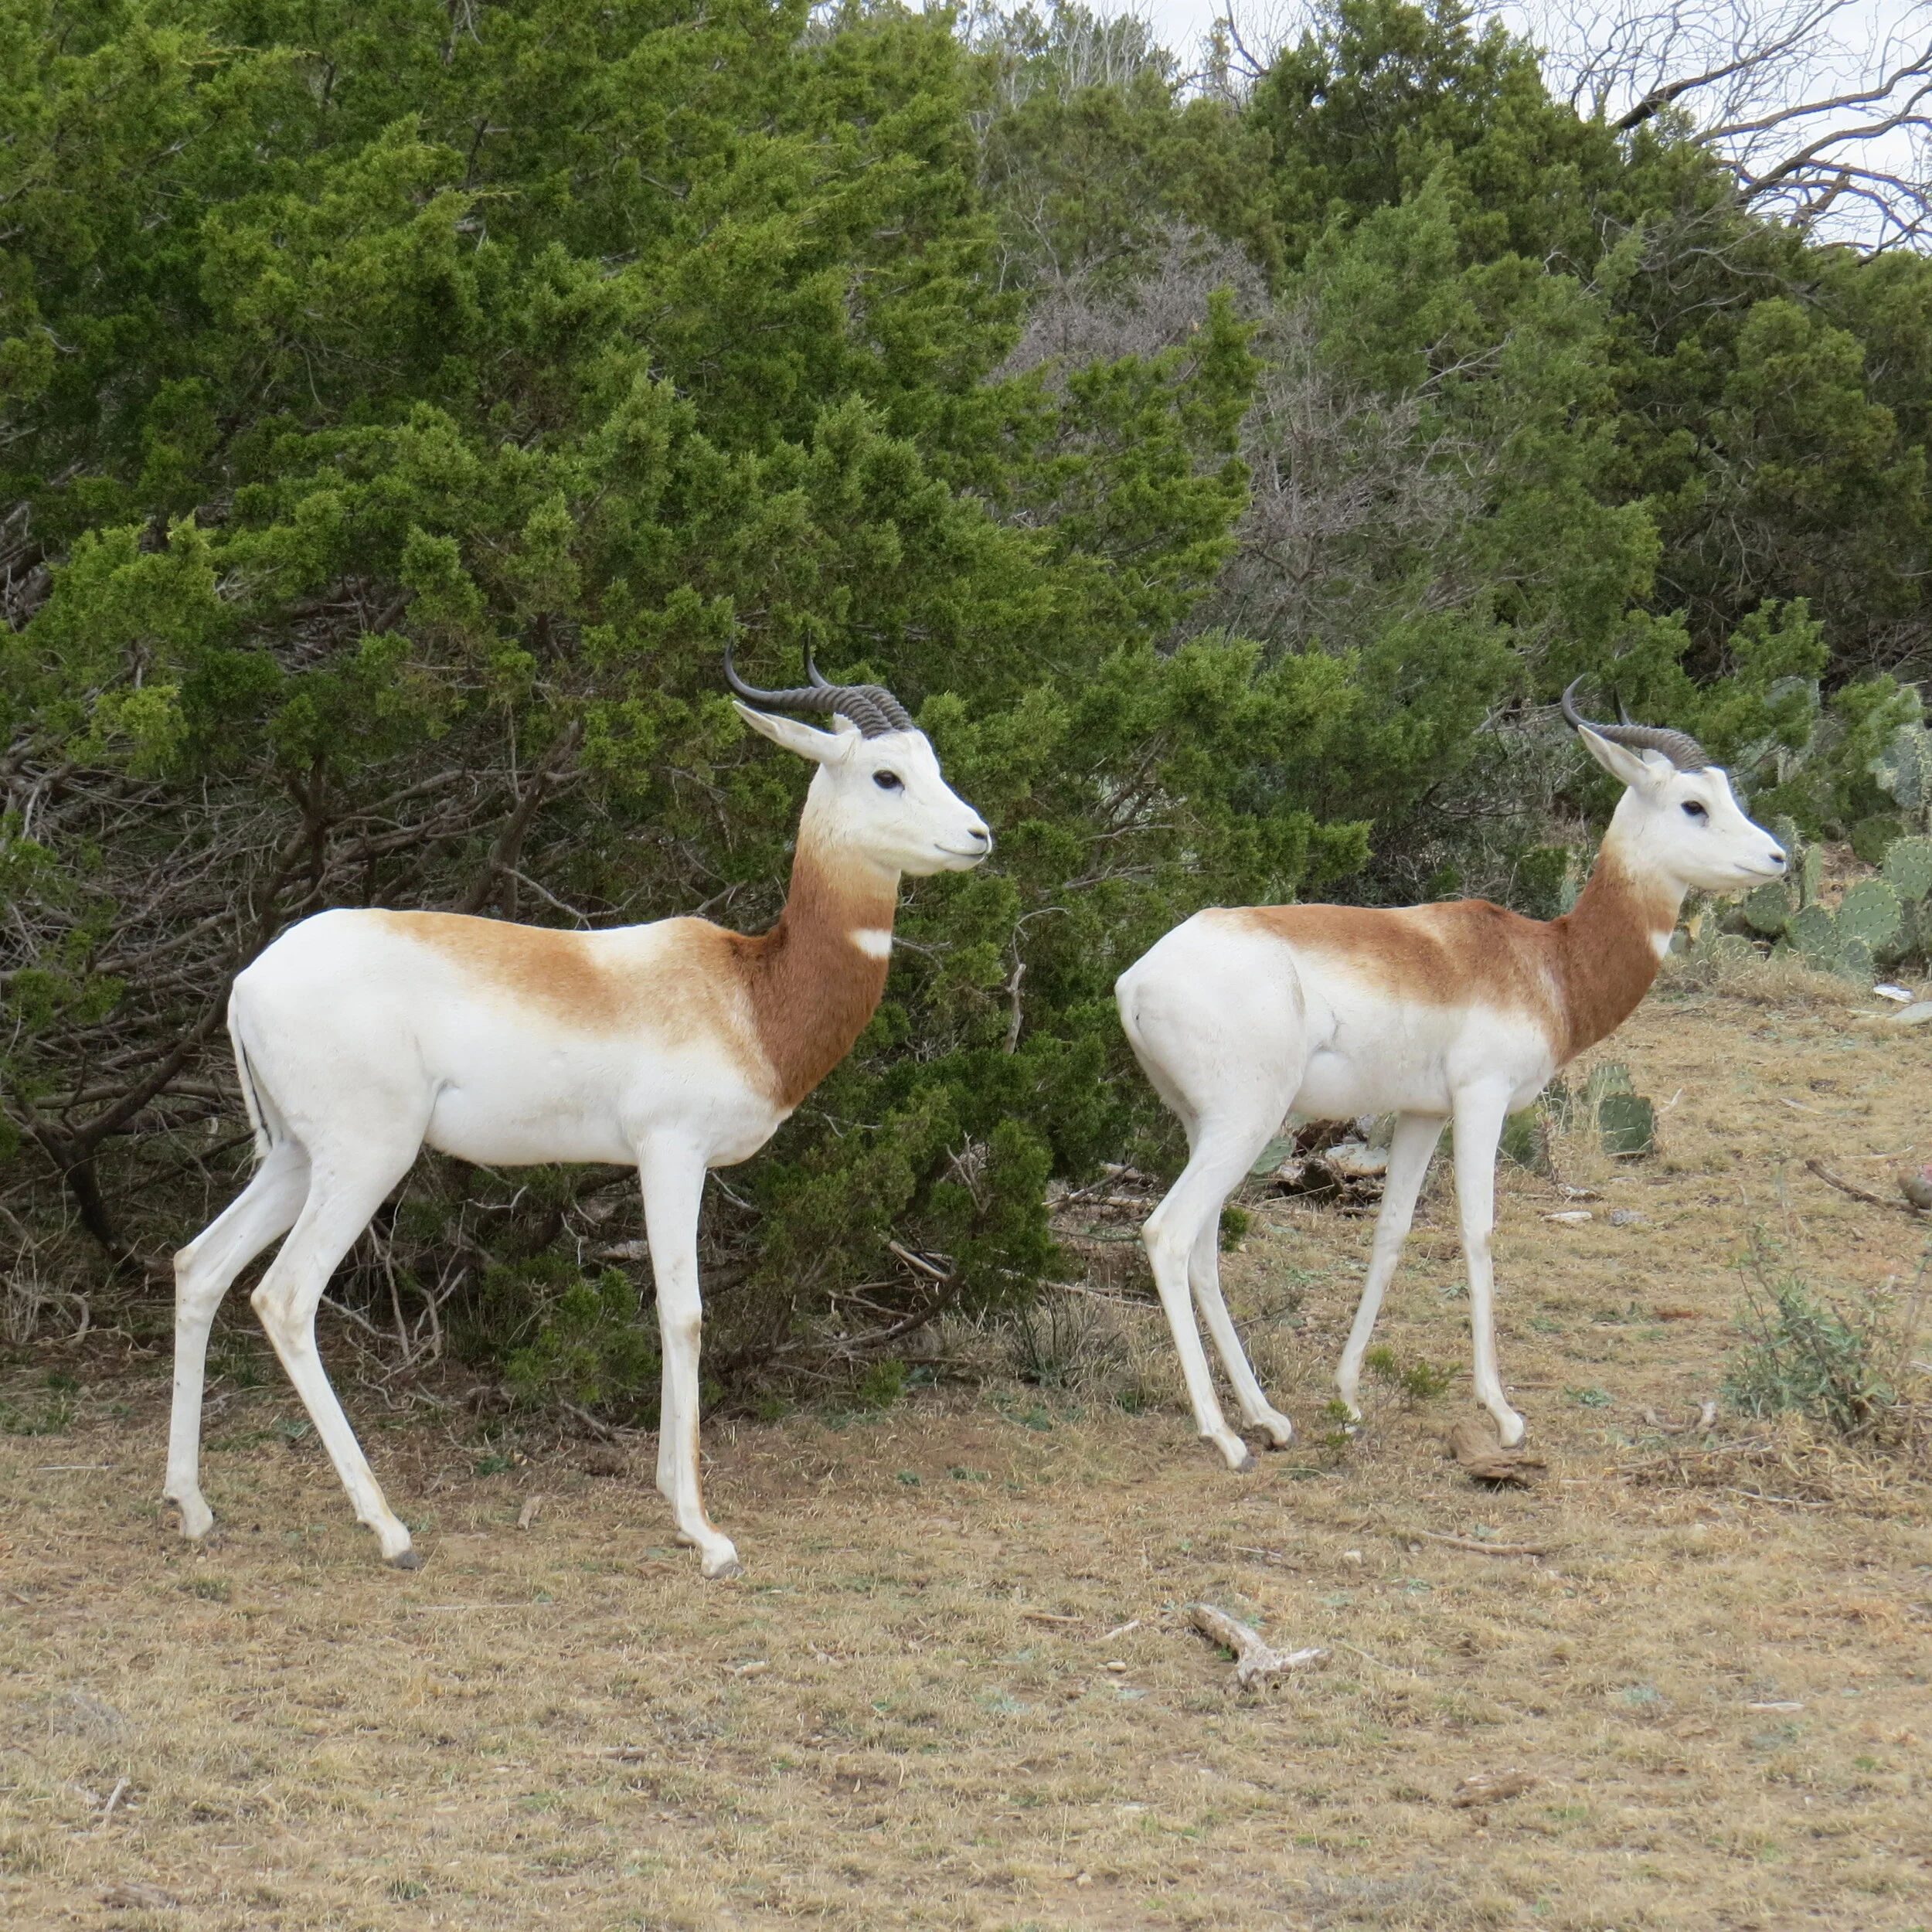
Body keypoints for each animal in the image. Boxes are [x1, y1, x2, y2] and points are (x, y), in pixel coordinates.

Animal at [165, 659, 991, 1579]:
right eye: (886, 775)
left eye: (933, 762)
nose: (979, 836)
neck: (746, 991)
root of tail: (249, 979)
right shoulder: (672, 1152)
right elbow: (685, 1313)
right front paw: (705, 1533)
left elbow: (667, 1310)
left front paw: (671, 1496)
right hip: (367, 1157)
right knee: (284, 1296)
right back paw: (388, 1528)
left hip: (297, 1157)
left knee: (199, 1265)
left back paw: (193, 1507)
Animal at [1115, 685, 1787, 1466]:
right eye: (1693, 805)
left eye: (1727, 791)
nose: (1777, 857)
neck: (1546, 961)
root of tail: (1135, 979)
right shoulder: (1481, 1101)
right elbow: (1478, 1232)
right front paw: (1502, 1413)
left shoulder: (1422, 1113)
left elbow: (1392, 1233)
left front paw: (1347, 1395)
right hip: (1245, 1123)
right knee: (1168, 1234)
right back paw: (1224, 1436)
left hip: (1206, 1126)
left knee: (1204, 1253)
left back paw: (1267, 1417)